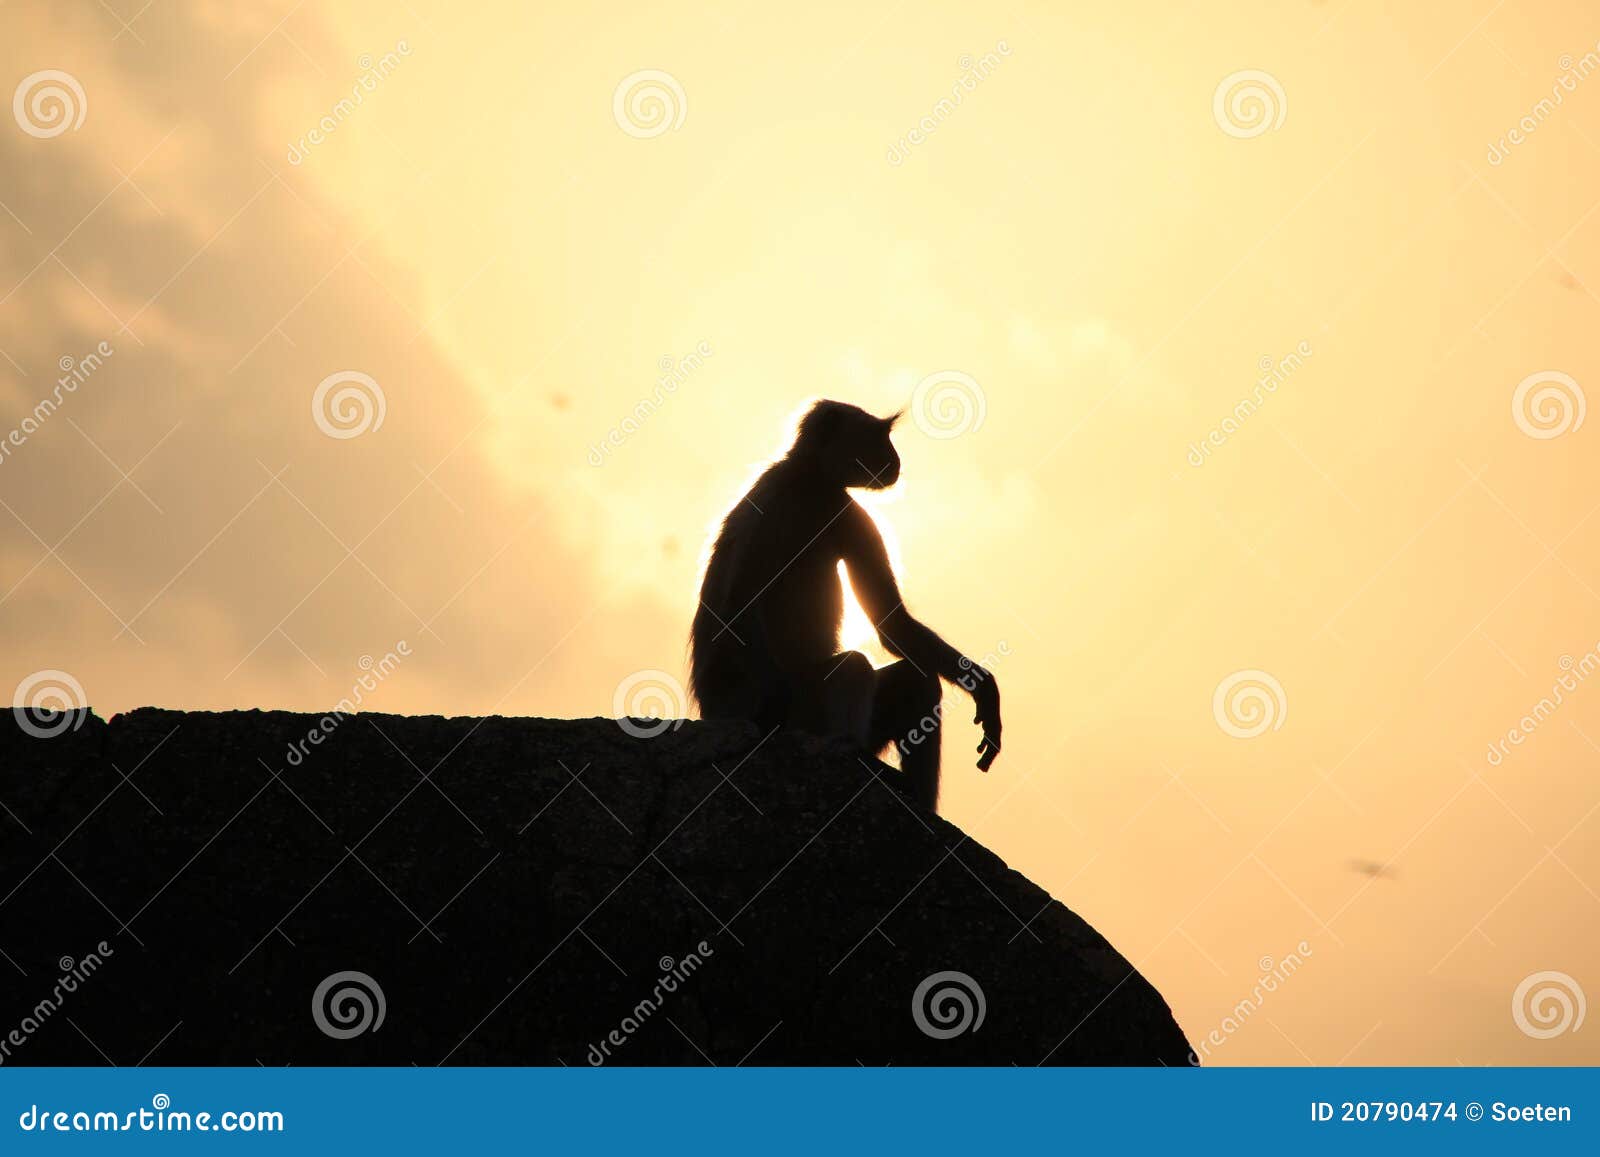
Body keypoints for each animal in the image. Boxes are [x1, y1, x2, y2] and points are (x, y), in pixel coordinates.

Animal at [689, 399, 1001, 812]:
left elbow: (892, 624)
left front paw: (983, 688)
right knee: (849, 667)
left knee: (915, 682)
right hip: (797, 710)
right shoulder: (781, 507)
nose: (895, 460)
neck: (810, 480)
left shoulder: (845, 511)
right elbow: (737, 616)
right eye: (877, 437)